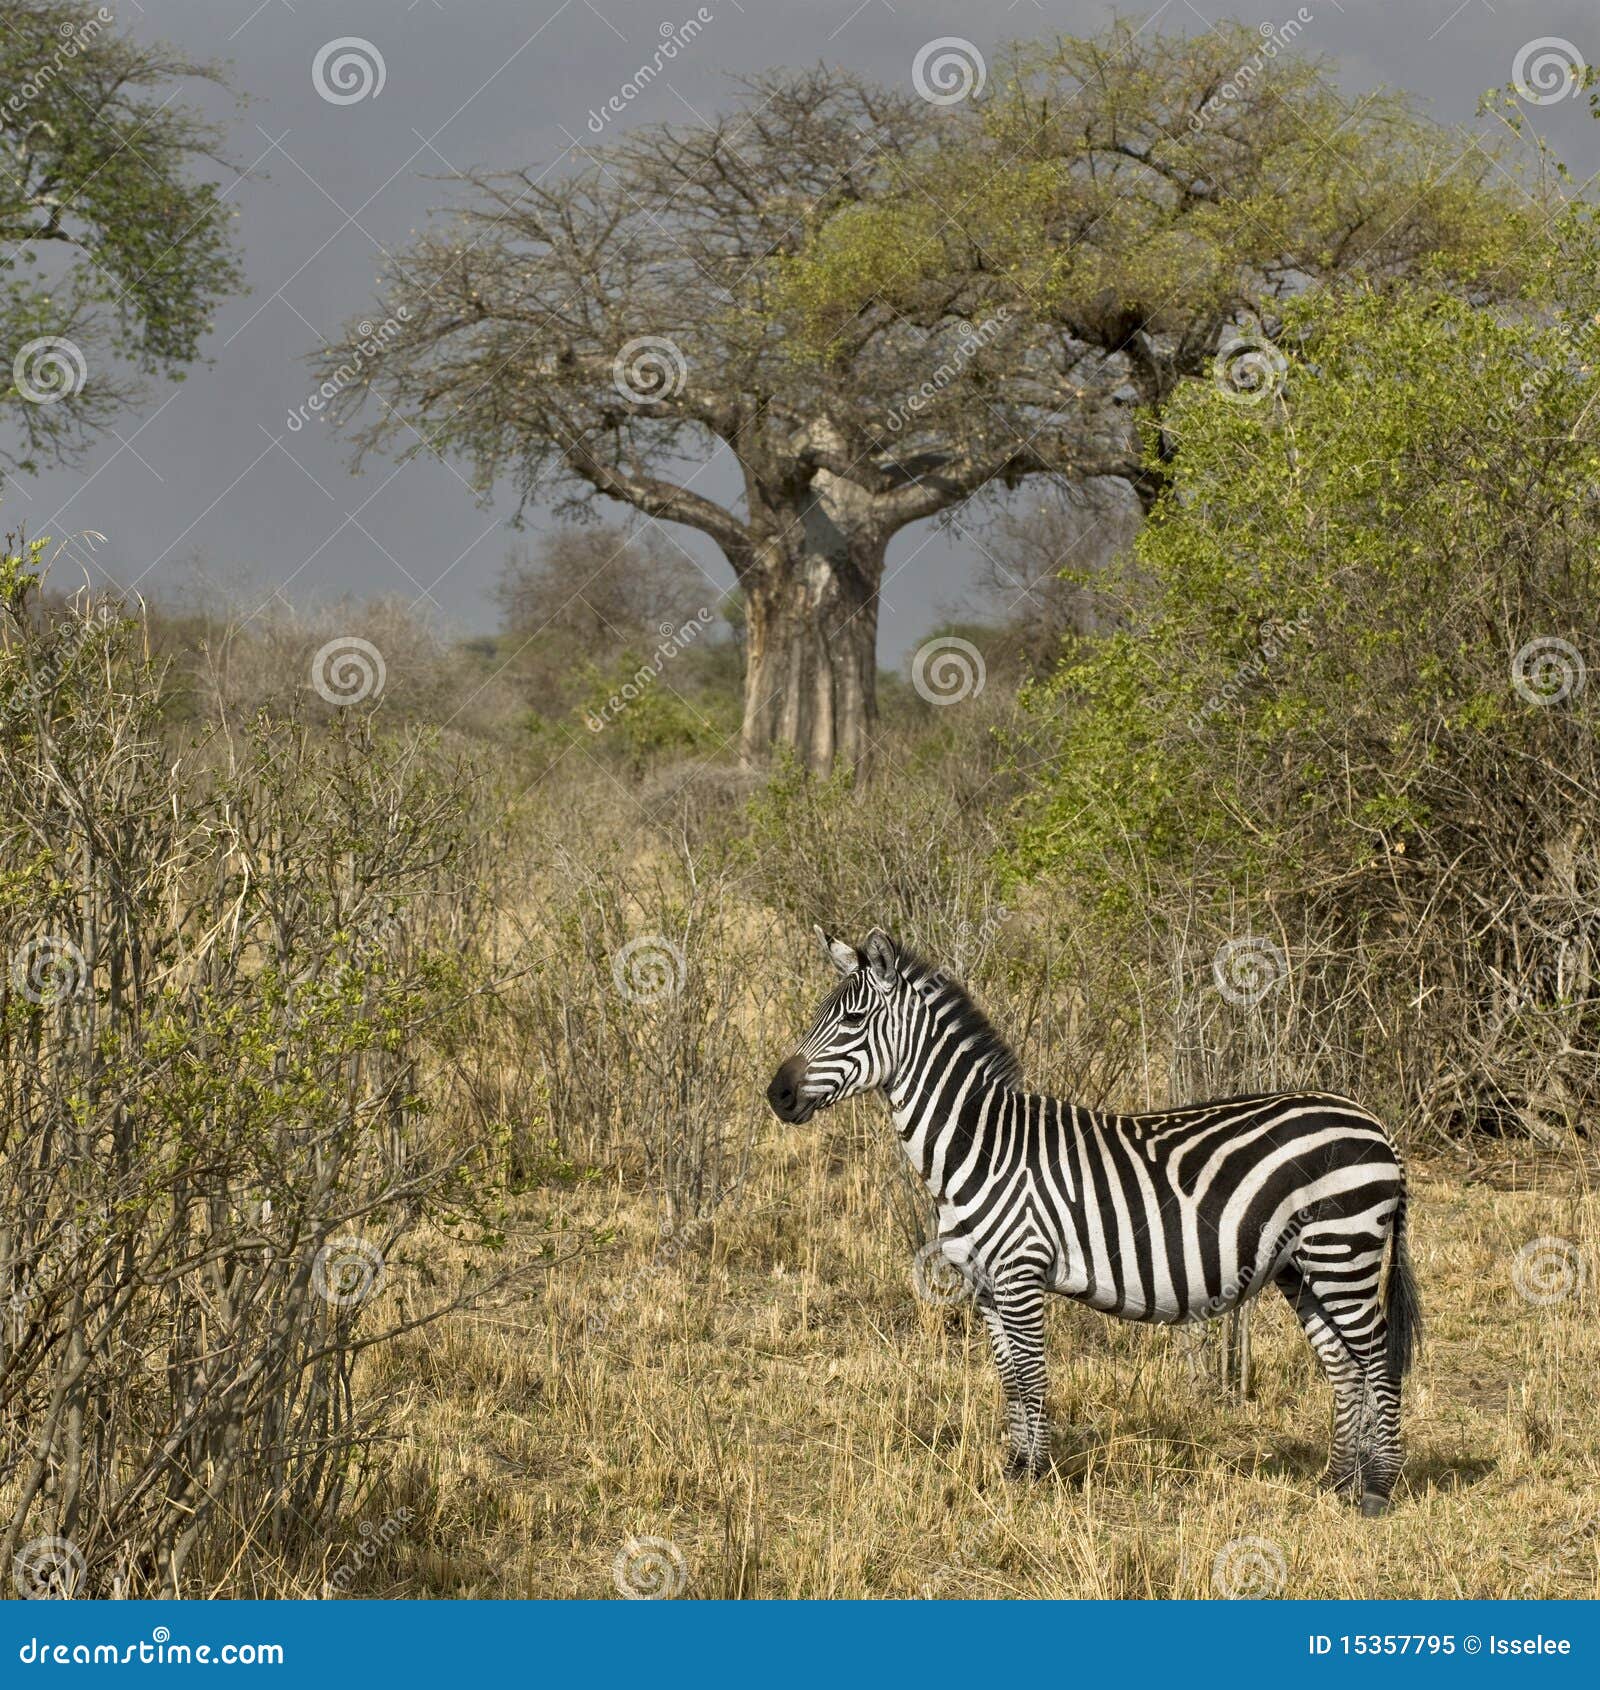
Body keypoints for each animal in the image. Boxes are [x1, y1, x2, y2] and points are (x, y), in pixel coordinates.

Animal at [766, 927, 1422, 1515]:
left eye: (852, 1021)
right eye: (820, 1015)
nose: (778, 1095)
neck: (980, 1144)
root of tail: (1373, 1121)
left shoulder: (1020, 1271)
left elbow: (1031, 1376)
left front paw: (1036, 1482)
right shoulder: (984, 1284)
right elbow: (1008, 1379)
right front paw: (1015, 1472)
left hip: (1344, 1250)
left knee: (1378, 1356)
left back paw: (1377, 1490)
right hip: (1303, 1266)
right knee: (1345, 1366)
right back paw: (1334, 1485)